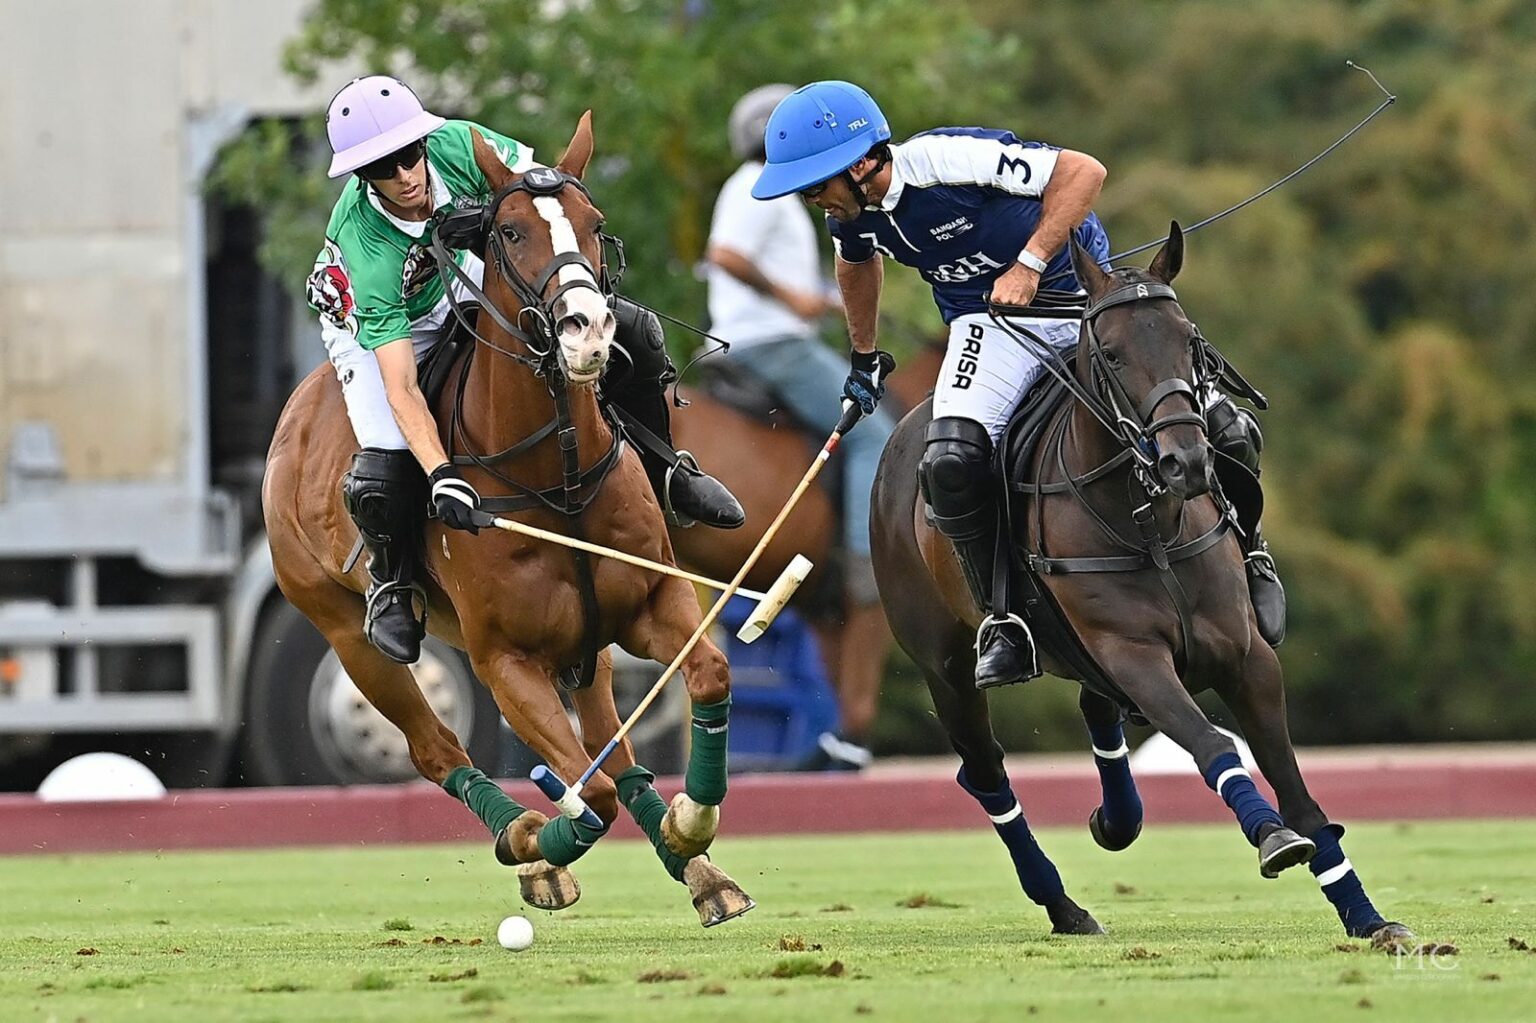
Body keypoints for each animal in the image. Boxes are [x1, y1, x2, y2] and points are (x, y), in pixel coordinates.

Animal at [870, 224, 1415, 945]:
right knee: (983, 769)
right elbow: (1213, 743)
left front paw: (1366, 915)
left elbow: (1295, 784)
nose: (1185, 461)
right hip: (946, 663)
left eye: (1190, 339)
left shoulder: (1246, 655)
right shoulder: (1135, 656)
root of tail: (904, 431)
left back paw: (1114, 819)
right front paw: (1273, 838)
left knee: (1092, 709)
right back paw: (1064, 905)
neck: (1149, 519)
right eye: (1112, 352)